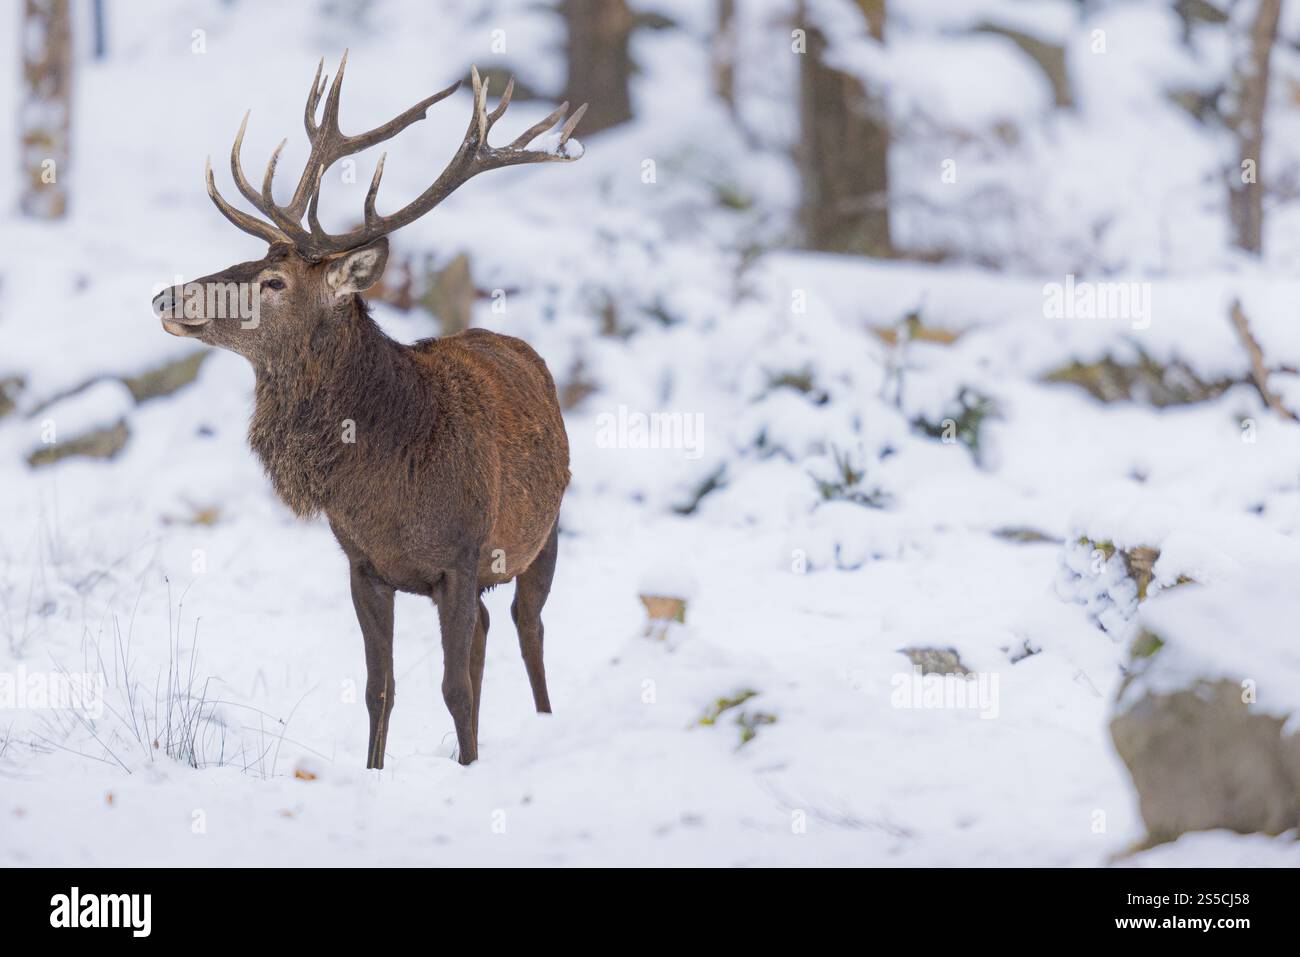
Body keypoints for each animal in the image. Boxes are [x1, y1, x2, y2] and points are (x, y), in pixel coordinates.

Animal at [151, 54, 586, 769]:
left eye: (274, 282)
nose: (165, 296)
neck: (386, 483)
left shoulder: (462, 557)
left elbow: (453, 687)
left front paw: (468, 770)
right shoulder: (362, 563)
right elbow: (379, 689)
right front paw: (381, 770)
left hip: (543, 534)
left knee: (529, 628)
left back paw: (544, 723)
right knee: (488, 632)